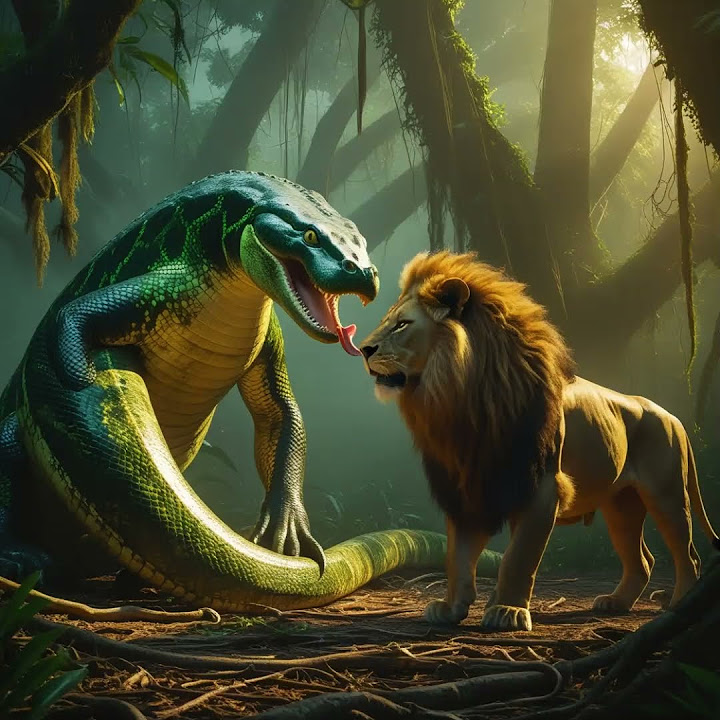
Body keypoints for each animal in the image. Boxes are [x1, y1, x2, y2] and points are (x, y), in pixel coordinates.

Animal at [359, 250, 720, 632]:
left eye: (402, 324)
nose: (363, 349)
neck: (464, 399)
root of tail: (672, 416)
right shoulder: (467, 485)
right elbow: (456, 556)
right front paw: (451, 607)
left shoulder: (541, 486)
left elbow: (518, 557)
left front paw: (507, 611)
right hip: (620, 504)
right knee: (643, 560)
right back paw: (616, 602)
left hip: (667, 494)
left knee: (688, 554)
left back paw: (680, 603)